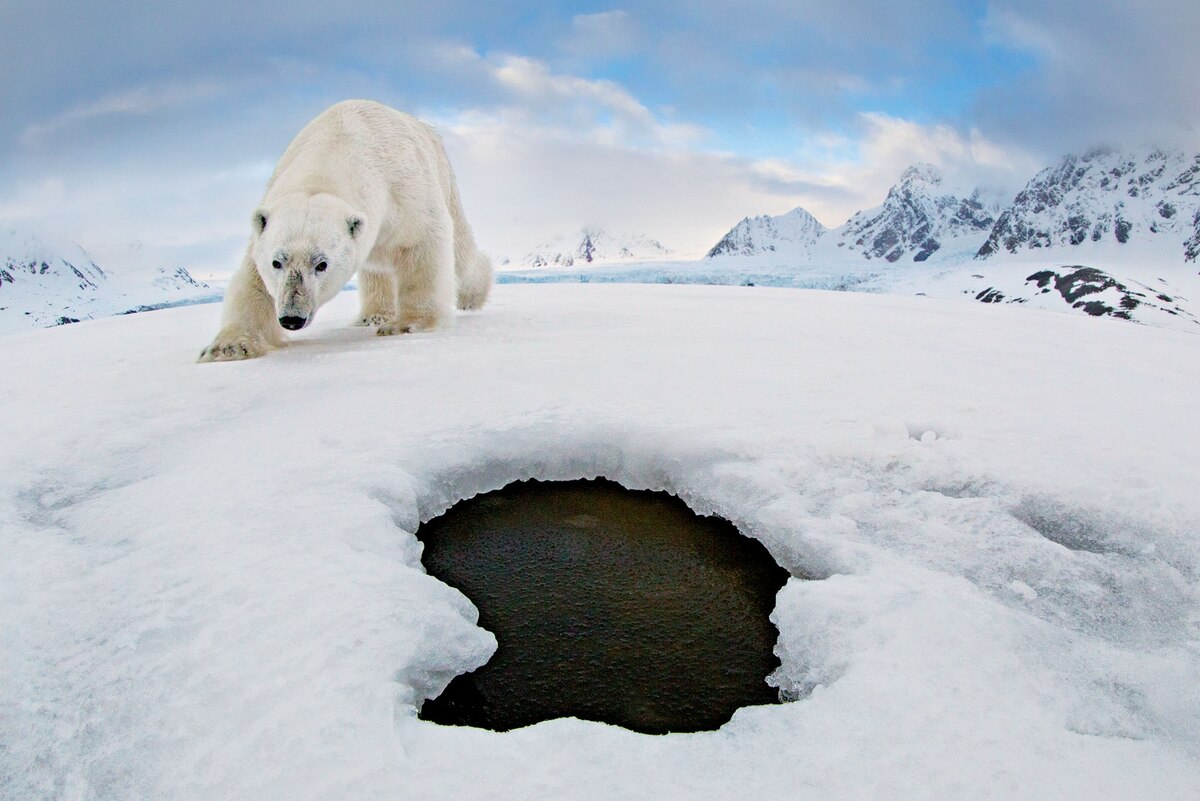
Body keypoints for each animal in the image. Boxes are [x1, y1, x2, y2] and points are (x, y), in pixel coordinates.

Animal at [199, 100, 493, 362]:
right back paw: (372, 316)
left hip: (444, 179)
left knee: (461, 253)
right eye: (276, 262)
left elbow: (421, 243)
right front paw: (228, 347)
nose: (292, 318)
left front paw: (406, 325)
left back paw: (472, 296)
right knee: (376, 272)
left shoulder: (403, 190)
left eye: (322, 264)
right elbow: (253, 279)